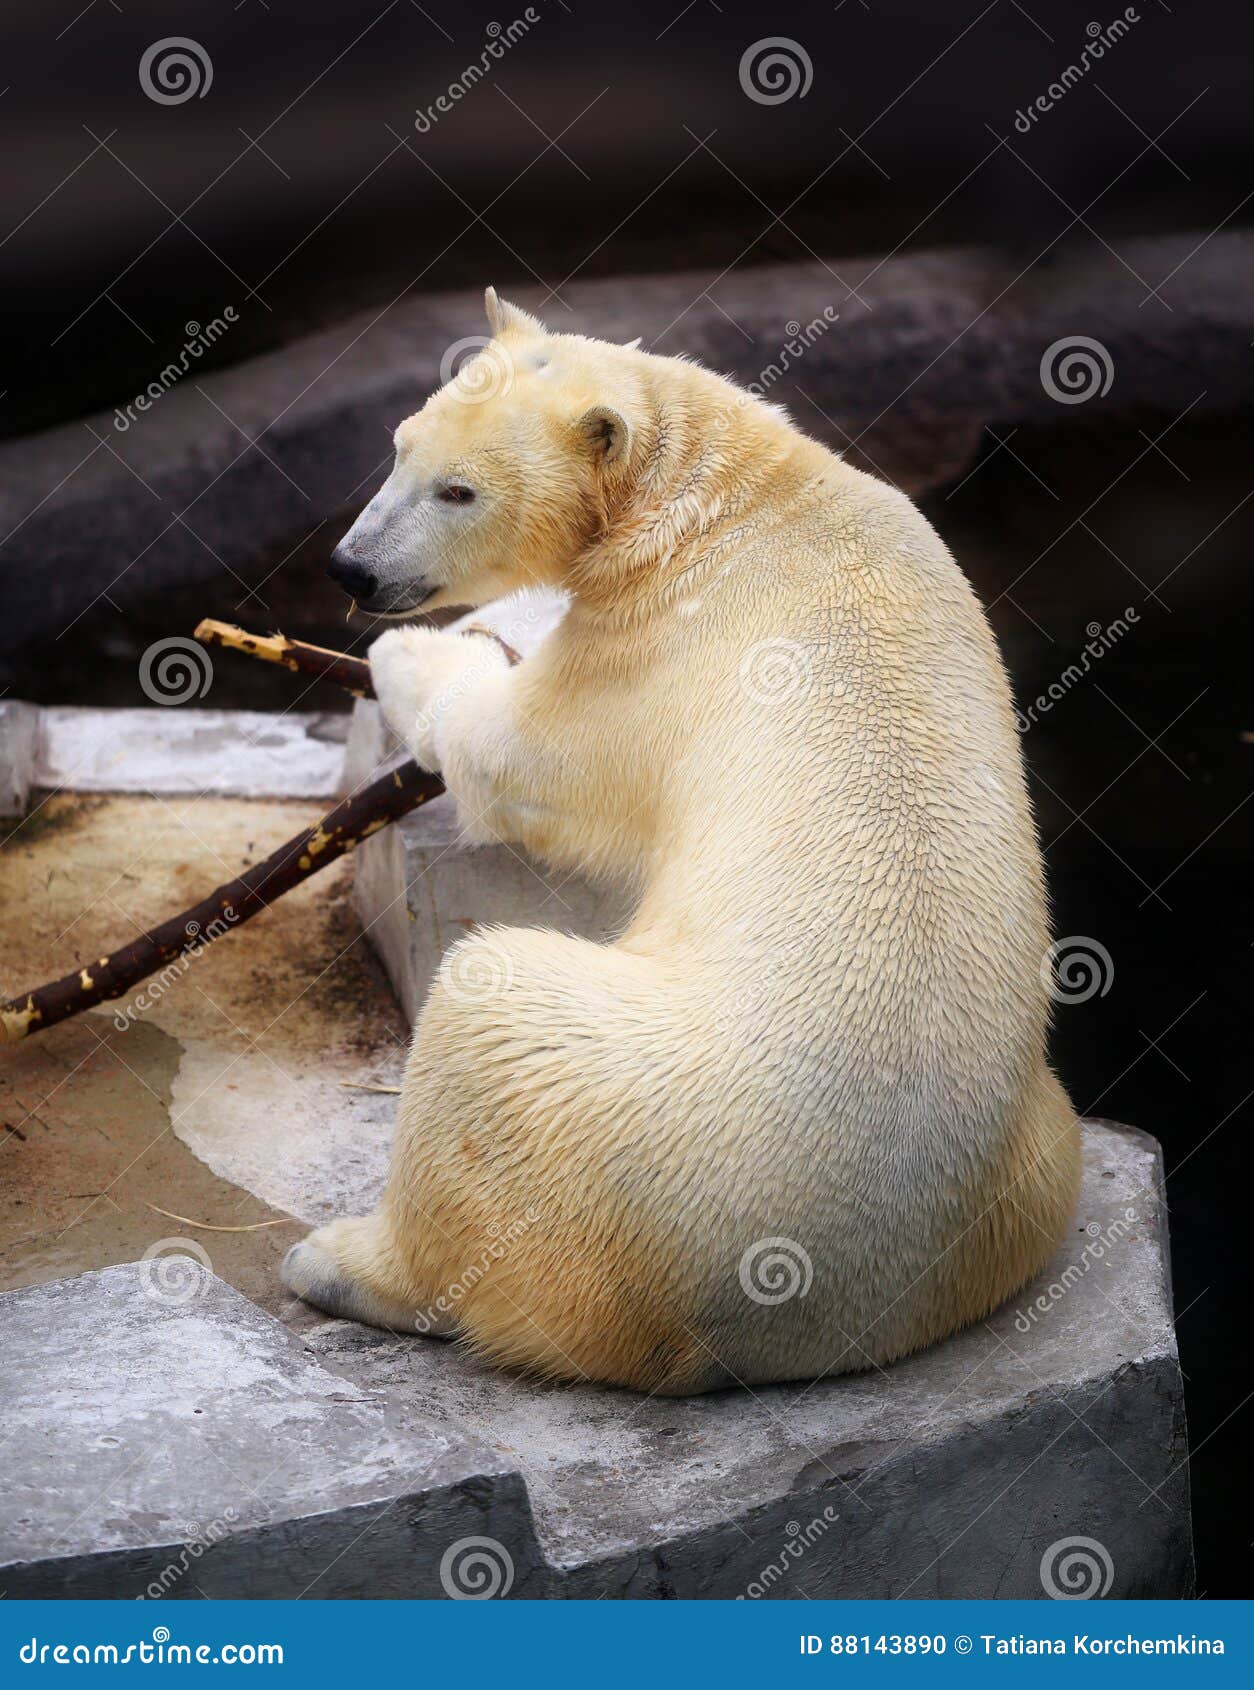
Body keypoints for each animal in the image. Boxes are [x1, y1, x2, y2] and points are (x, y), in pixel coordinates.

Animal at [282, 287, 1082, 1394]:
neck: (731, 497)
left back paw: (343, 1259)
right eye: (399, 447)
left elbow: (519, 753)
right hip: (1032, 1170)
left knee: (489, 1015)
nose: (351, 569)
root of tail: (787, 1308)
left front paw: (420, 653)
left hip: (609, 1123)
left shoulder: (654, 647)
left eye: (459, 490)